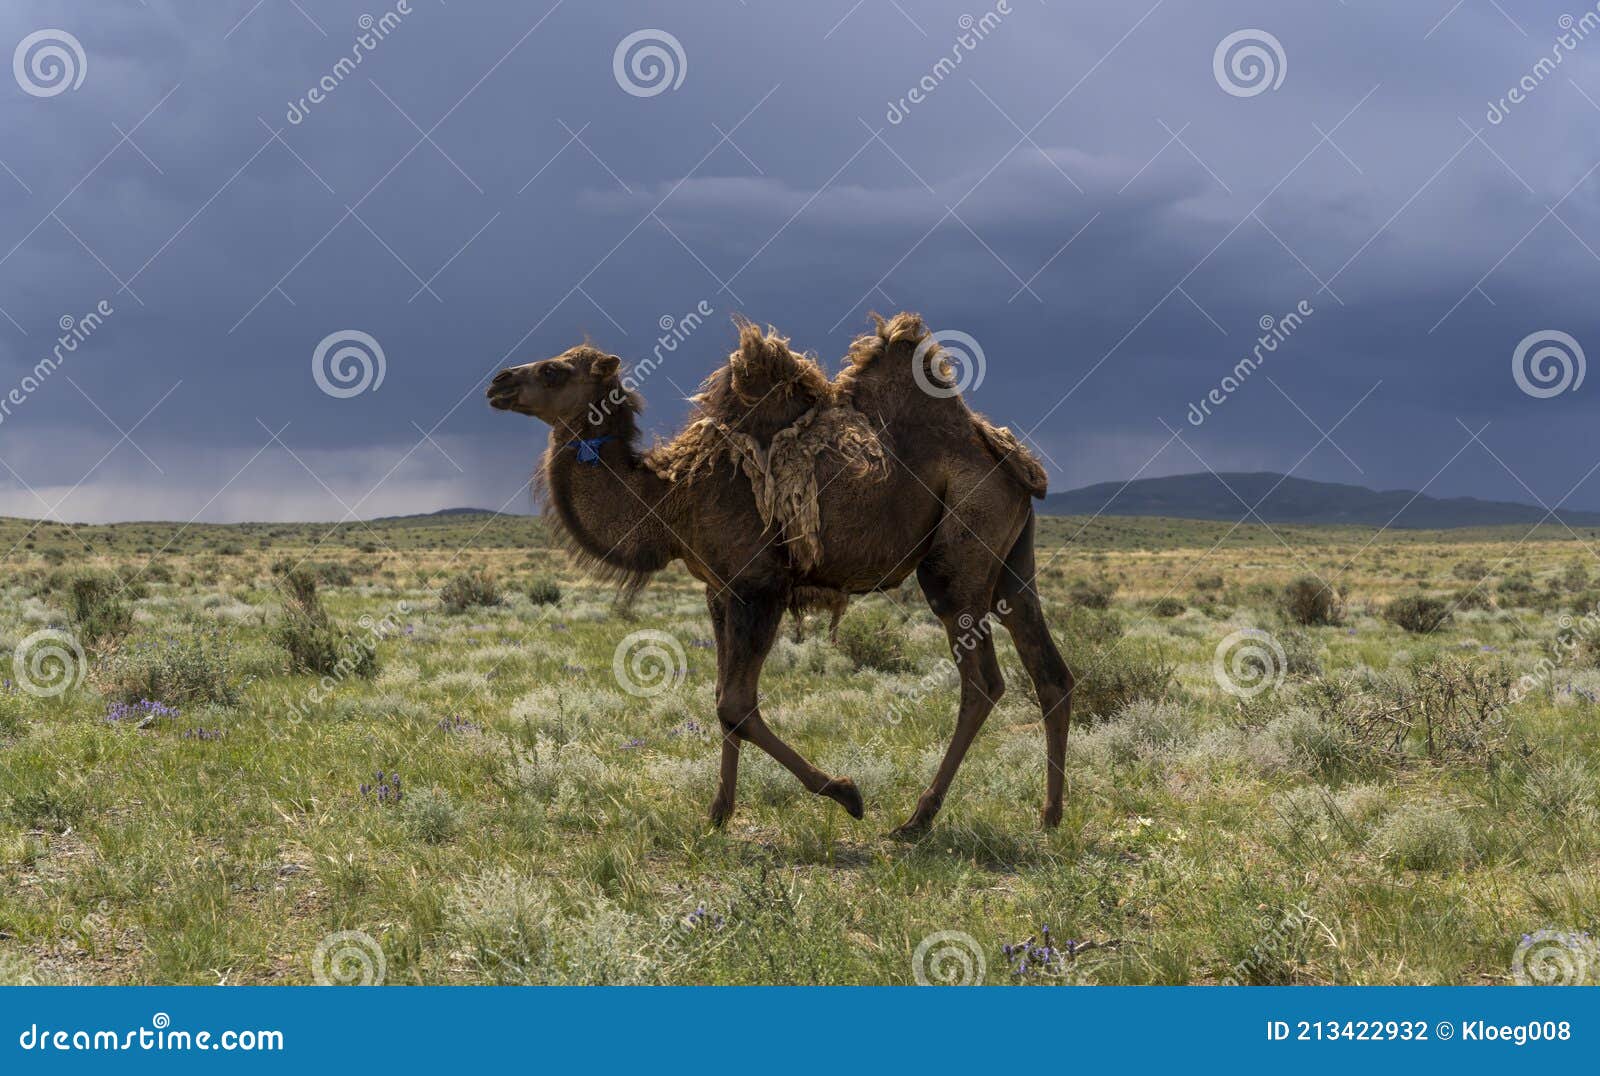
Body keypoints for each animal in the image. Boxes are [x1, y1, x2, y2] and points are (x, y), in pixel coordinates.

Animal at [487, 314, 1074, 835]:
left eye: (554, 371)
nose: (499, 382)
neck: (671, 498)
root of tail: (1011, 462)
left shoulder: (758, 586)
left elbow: (736, 705)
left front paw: (846, 793)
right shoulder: (718, 589)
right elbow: (721, 699)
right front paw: (718, 814)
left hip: (959, 557)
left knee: (982, 681)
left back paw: (917, 820)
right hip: (1012, 563)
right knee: (1049, 671)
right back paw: (1048, 815)